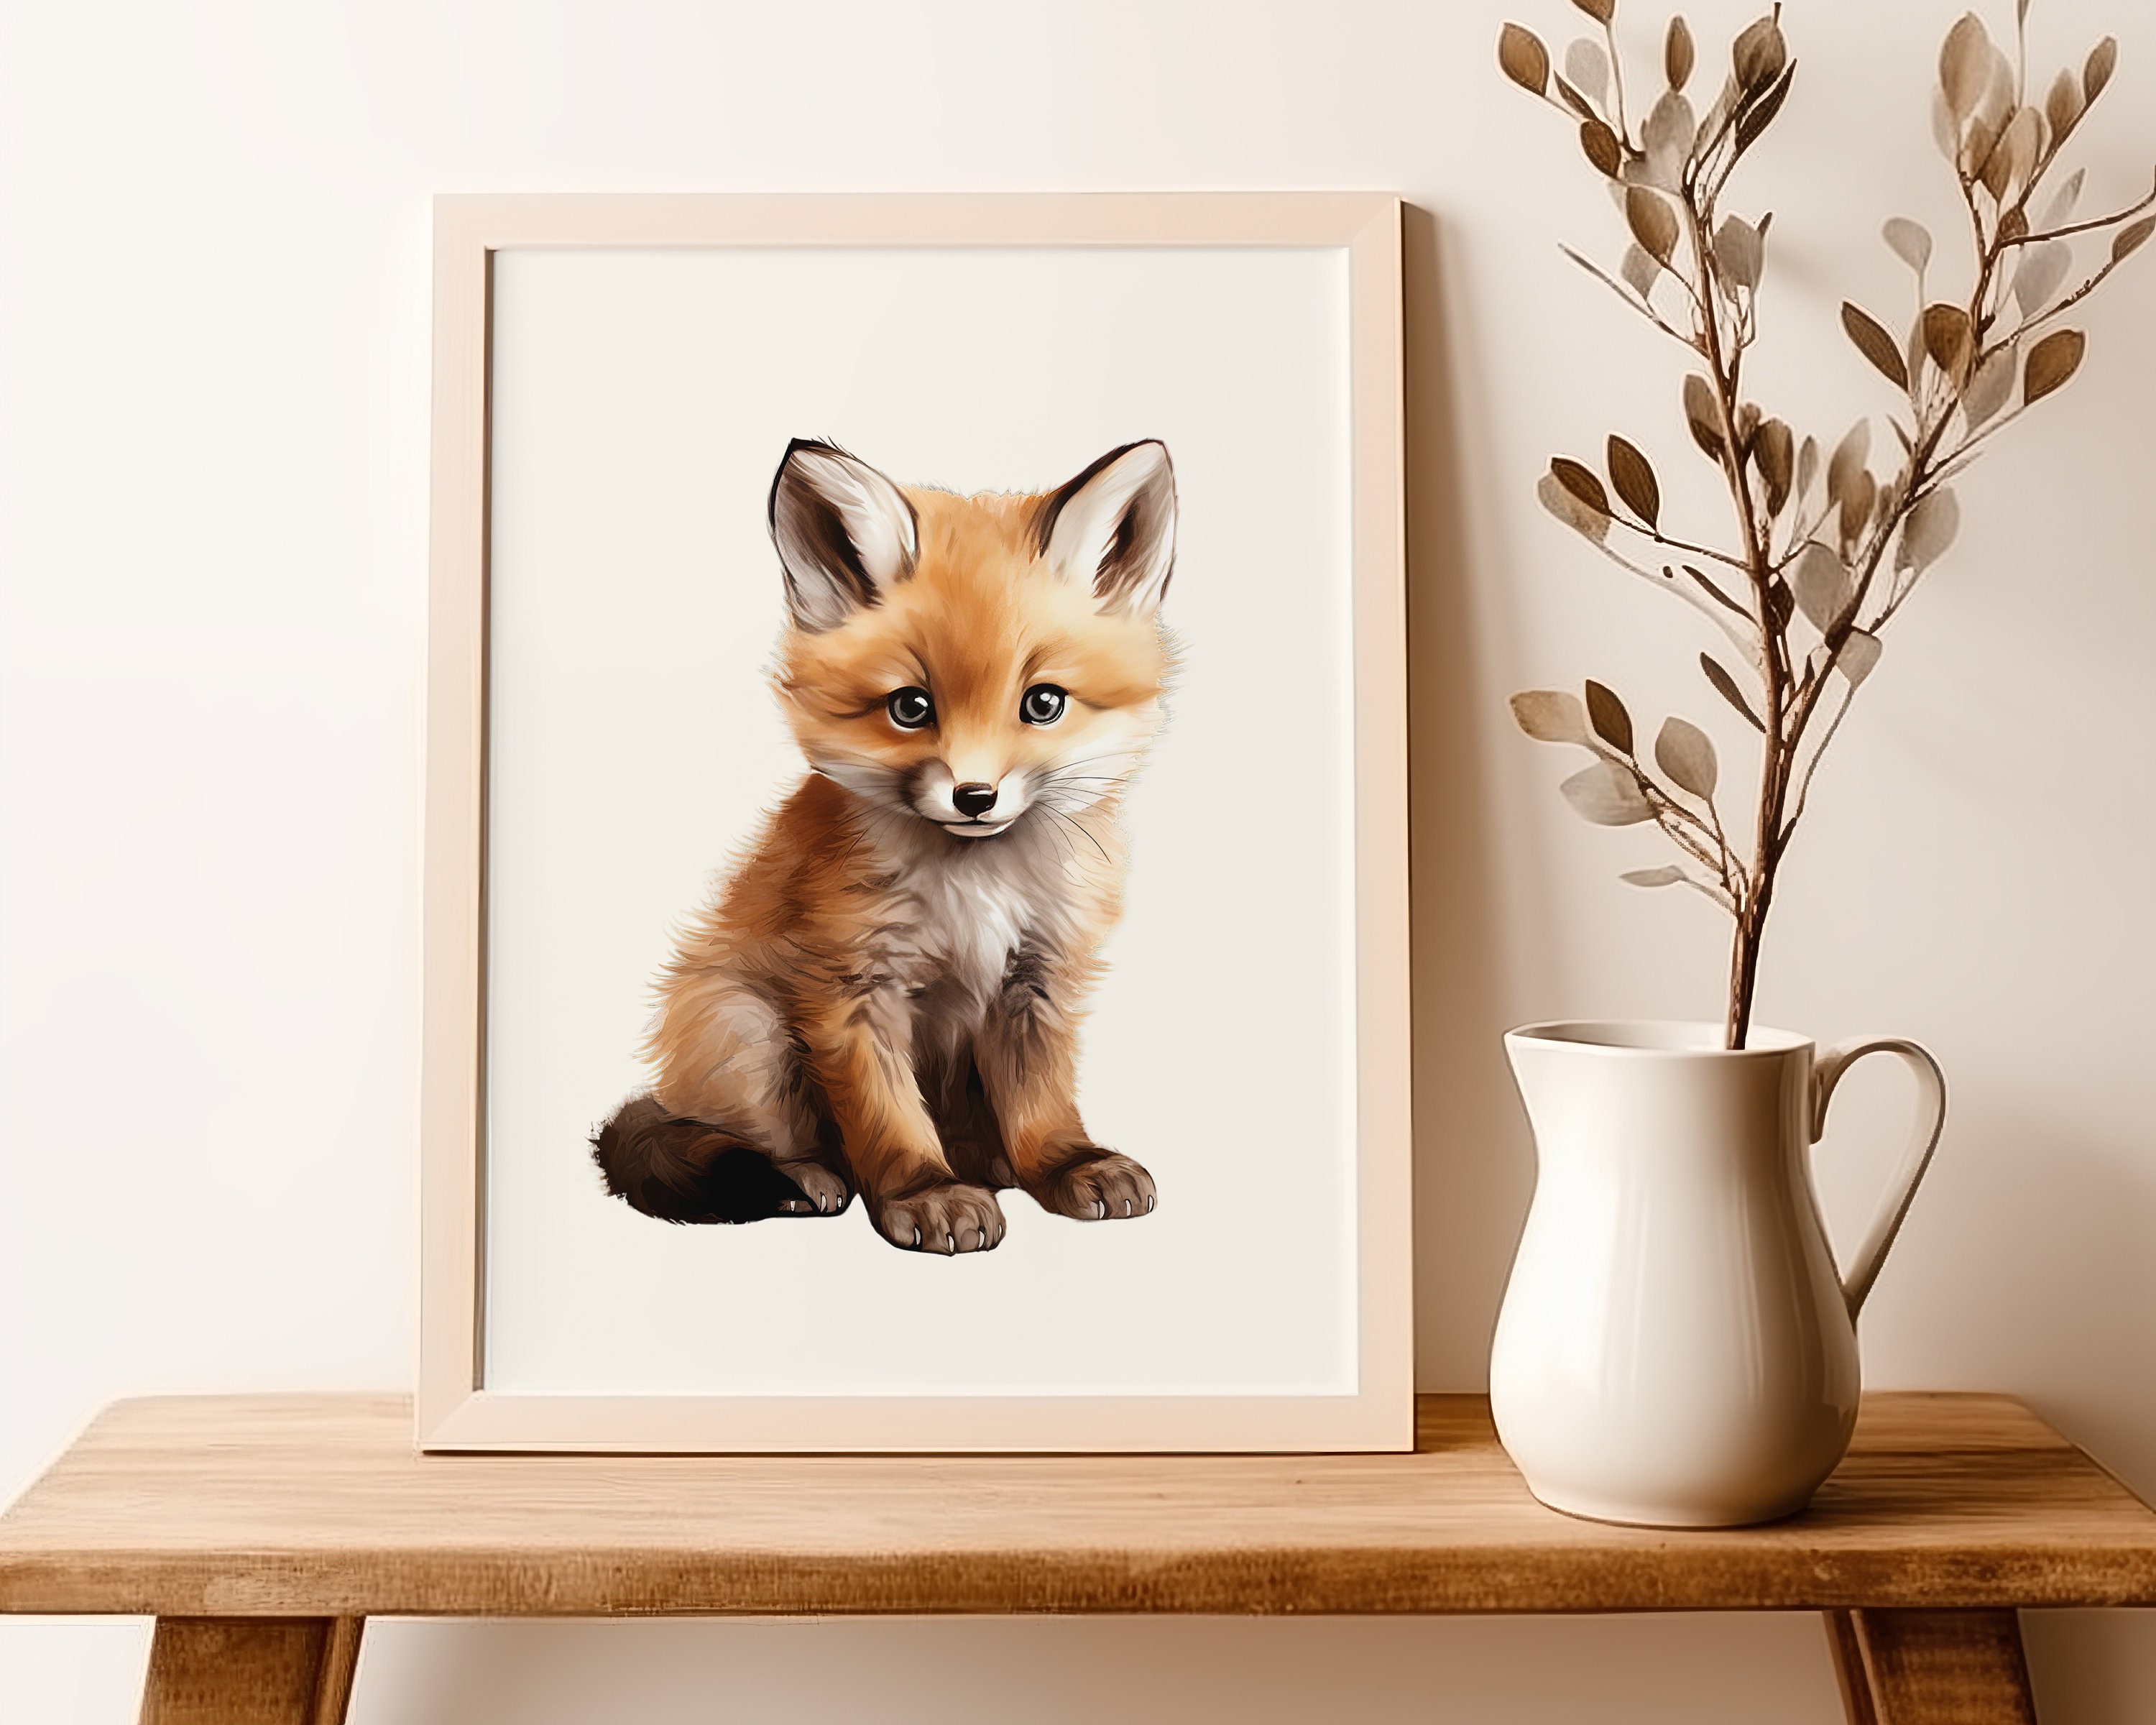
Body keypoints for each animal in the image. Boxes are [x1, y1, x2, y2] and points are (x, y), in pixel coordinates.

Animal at [591, 437, 1177, 1255]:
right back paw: (807, 1178)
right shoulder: (852, 988)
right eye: (910, 707)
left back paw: (995, 1164)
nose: (975, 797)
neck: (976, 887)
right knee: (762, 1139)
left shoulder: (1038, 980)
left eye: (1043, 703)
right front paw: (924, 1193)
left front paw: (1065, 1163)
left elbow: (1042, 1102)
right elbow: (889, 1119)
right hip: (751, 1032)